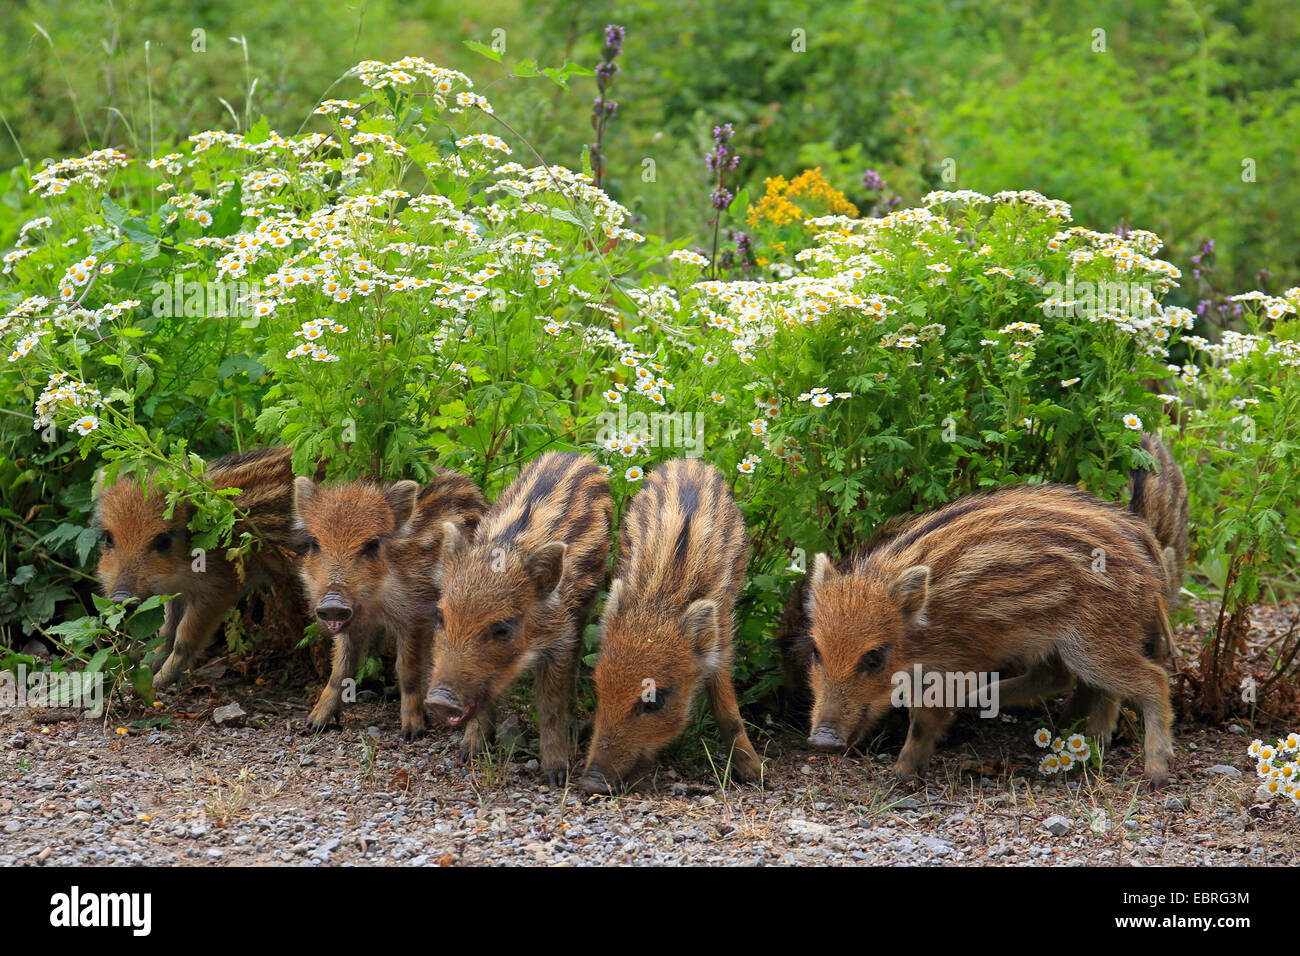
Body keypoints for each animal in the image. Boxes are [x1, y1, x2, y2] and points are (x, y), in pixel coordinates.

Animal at [95, 446, 300, 689]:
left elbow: (185, 635)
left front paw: (157, 682)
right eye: (108, 538)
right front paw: (144, 671)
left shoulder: (221, 586)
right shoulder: (176, 590)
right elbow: (167, 630)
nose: (120, 598)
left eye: (163, 541)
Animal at [292, 471, 487, 739]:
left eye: (372, 544)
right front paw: (314, 724)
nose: (333, 602)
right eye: (314, 543)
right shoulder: (352, 624)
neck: (374, 602)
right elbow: (340, 669)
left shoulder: (416, 615)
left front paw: (413, 731)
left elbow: (408, 669)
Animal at [425, 451, 612, 785]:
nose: (439, 700)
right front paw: (468, 754)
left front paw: (556, 775)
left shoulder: (559, 641)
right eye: (440, 617)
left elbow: (549, 705)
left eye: (503, 628)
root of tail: (576, 455)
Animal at [579, 458, 762, 793]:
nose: (590, 781)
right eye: (598, 689)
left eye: (655, 701)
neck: (661, 601)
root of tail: (688, 462)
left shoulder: (723, 632)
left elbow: (726, 707)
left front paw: (755, 773)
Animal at [804, 483, 1177, 788]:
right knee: (1059, 678)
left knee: (1151, 678)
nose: (822, 741)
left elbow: (925, 715)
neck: (924, 626)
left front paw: (901, 775)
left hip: (1092, 640)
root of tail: (1149, 553)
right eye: (816, 652)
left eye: (876, 656)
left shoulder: (958, 660)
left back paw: (1156, 772)